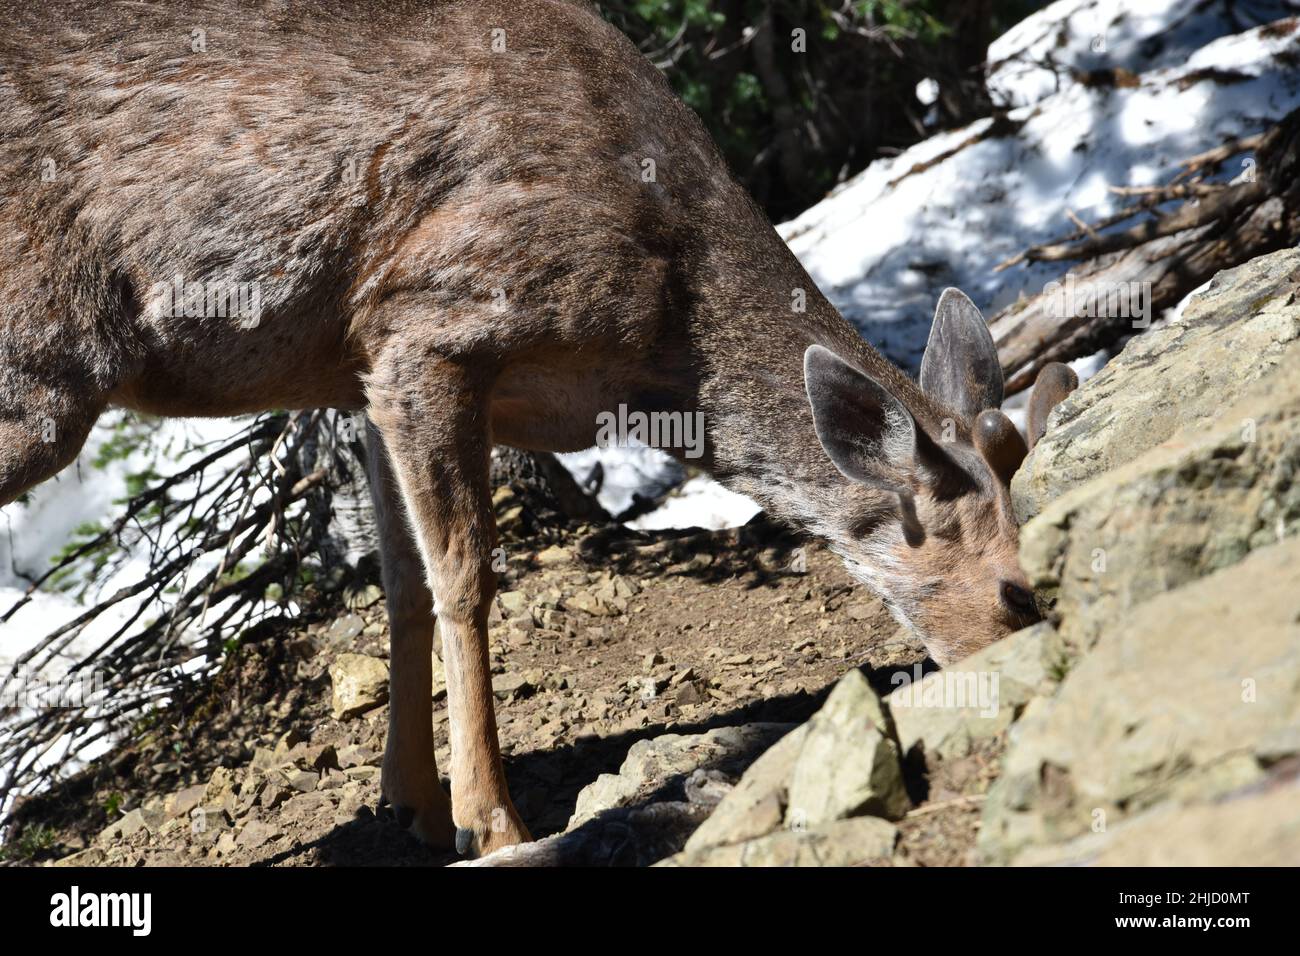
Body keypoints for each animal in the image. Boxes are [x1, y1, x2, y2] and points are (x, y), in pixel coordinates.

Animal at [0, 0, 1077, 856]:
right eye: (1019, 590)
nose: (1016, 680)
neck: (666, 331)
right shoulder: (431, 320)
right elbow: (468, 577)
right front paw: (493, 819)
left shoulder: (362, 367)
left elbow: (400, 581)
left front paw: (412, 802)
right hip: (40, 373)